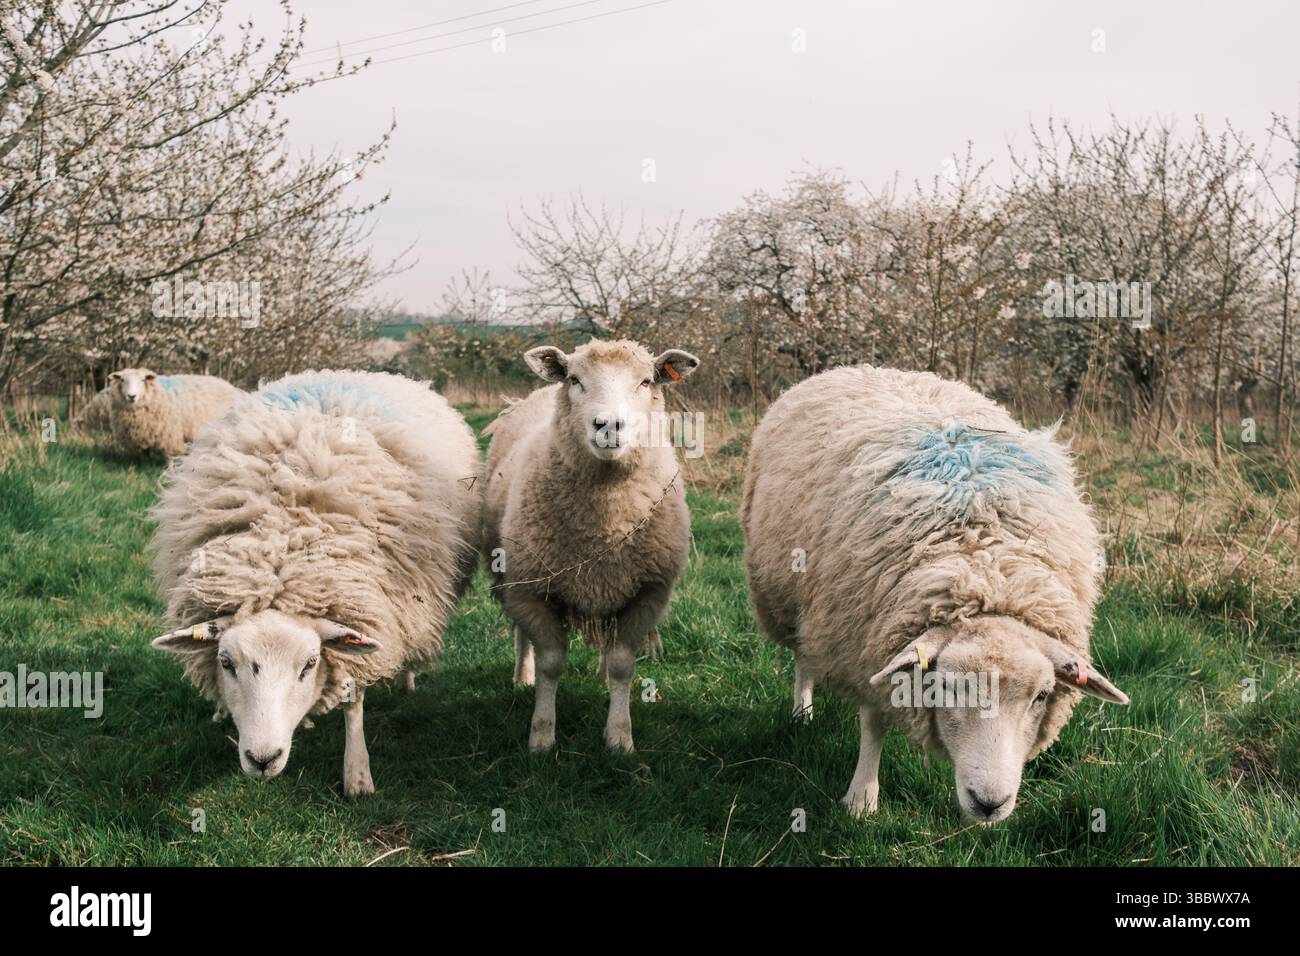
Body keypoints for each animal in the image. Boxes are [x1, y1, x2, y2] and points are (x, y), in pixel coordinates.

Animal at [106, 367, 241, 457]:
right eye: (122, 380)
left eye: (142, 380)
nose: (131, 396)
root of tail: (230, 385)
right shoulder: (143, 433)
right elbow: (144, 453)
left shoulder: (170, 433)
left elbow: (169, 455)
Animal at [149, 370, 482, 796]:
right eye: (226, 663)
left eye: (309, 664)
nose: (262, 759)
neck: (282, 549)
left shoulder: (365, 609)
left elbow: (354, 698)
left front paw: (357, 774)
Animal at [484, 338, 698, 752]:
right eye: (574, 379)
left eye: (646, 381)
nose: (608, 425)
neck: (605, 524)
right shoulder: (533, 590)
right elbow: (551, 663)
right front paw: (542, 735)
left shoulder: (647, 593)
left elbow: (622, 664)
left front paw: (619, 737)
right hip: (513, 575)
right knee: (521, 635)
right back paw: (522, 677)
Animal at [741, 365, 1130, 823]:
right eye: (947, 687)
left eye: (1040, 696)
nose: (989, 803)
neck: (983, 565)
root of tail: (868, 367)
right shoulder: (868, 635)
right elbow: (873, 723)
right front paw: (862, 799)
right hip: (793, 598)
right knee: (803, 656)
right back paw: (802, 711)